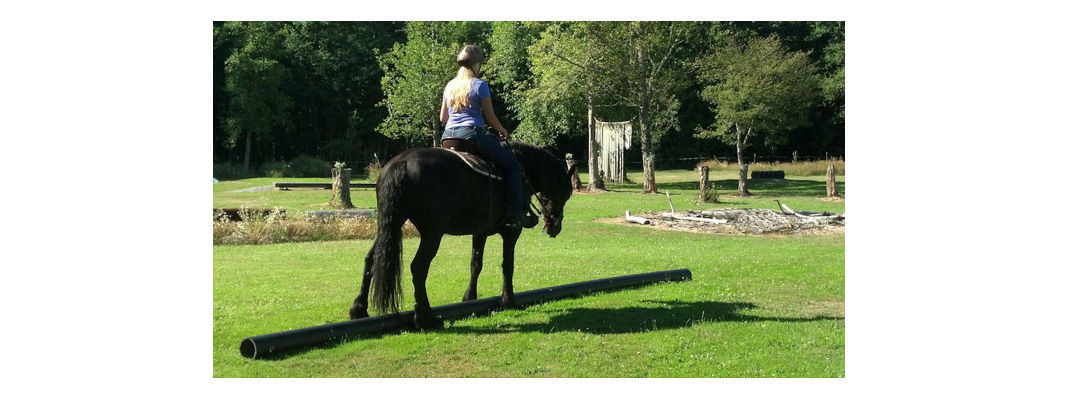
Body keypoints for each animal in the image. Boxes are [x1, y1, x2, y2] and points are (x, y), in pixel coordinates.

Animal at [348, 141, 576, 329]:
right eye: (566, 193)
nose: (554, 227)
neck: (524, 170)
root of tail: (402, 162)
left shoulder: (480, 231)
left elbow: (476, 264)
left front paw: (469, 298)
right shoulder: (512, 231)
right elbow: (508, 265)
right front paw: (508, 300)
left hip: (390, 224)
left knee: (372, 258)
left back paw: (359, 308)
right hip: (432, 233)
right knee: (419, 267)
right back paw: (425, 318)